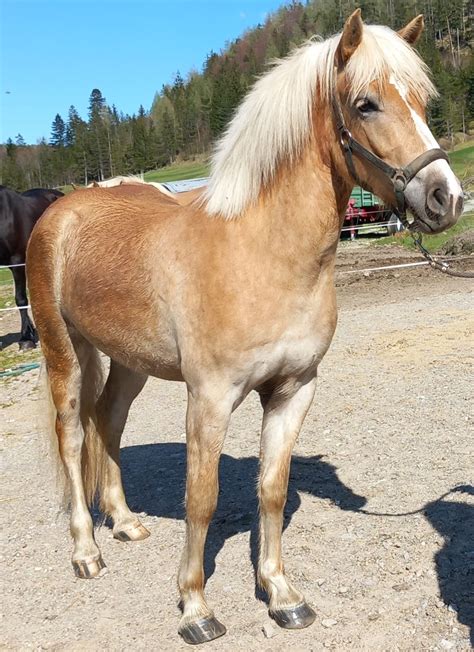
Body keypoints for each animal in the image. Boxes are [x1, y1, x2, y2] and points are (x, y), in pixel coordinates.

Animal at [26, 11, 463, 645]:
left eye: (425, 101)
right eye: (365, 104)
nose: (445, 199)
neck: (261, 253)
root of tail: (61, 210)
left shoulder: (293, 390)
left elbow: (271, 492)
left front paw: (281, 595)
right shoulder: (209, 398)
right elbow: (202, 499)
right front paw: (195, 609)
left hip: (129, 361)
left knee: (107, 421)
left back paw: (126, 523)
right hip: (64, 350)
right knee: (71, 435)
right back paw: (86, 551)